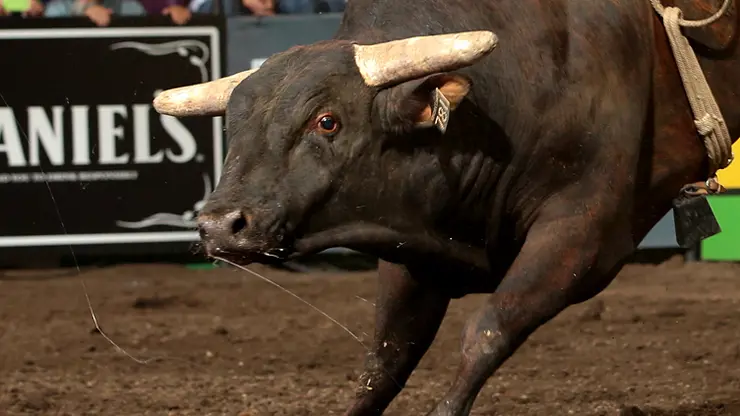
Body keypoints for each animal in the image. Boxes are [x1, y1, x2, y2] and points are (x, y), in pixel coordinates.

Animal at [152, 0, 739, 414]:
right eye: (230, 128)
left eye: (327, 121)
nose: (220, 225)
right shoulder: (412, 247)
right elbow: (385, 359)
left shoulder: (584, 232)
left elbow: (487, 330)